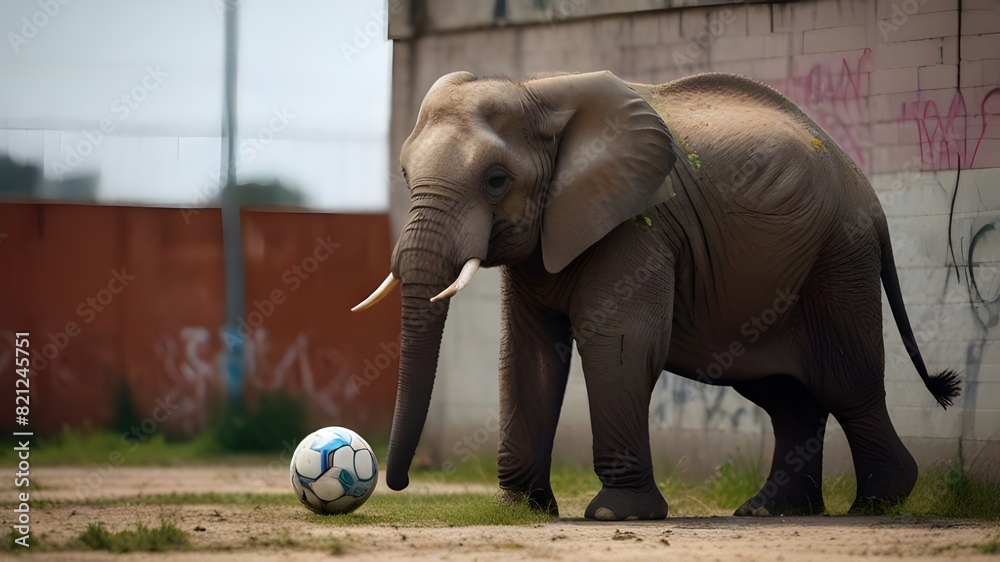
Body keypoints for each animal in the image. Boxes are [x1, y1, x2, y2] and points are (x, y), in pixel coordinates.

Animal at [353, 70, 961, 521]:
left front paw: (613, 514)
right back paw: (772, 511)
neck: (539, 90)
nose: (397, 482)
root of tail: (868, 191)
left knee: (846, 381)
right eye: (404, 174)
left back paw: (880, 502)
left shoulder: (638, 223)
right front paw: (521, 510)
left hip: (840, 254)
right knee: (785, 393)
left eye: (497, 180)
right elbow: (528, 352)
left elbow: (617, 342)